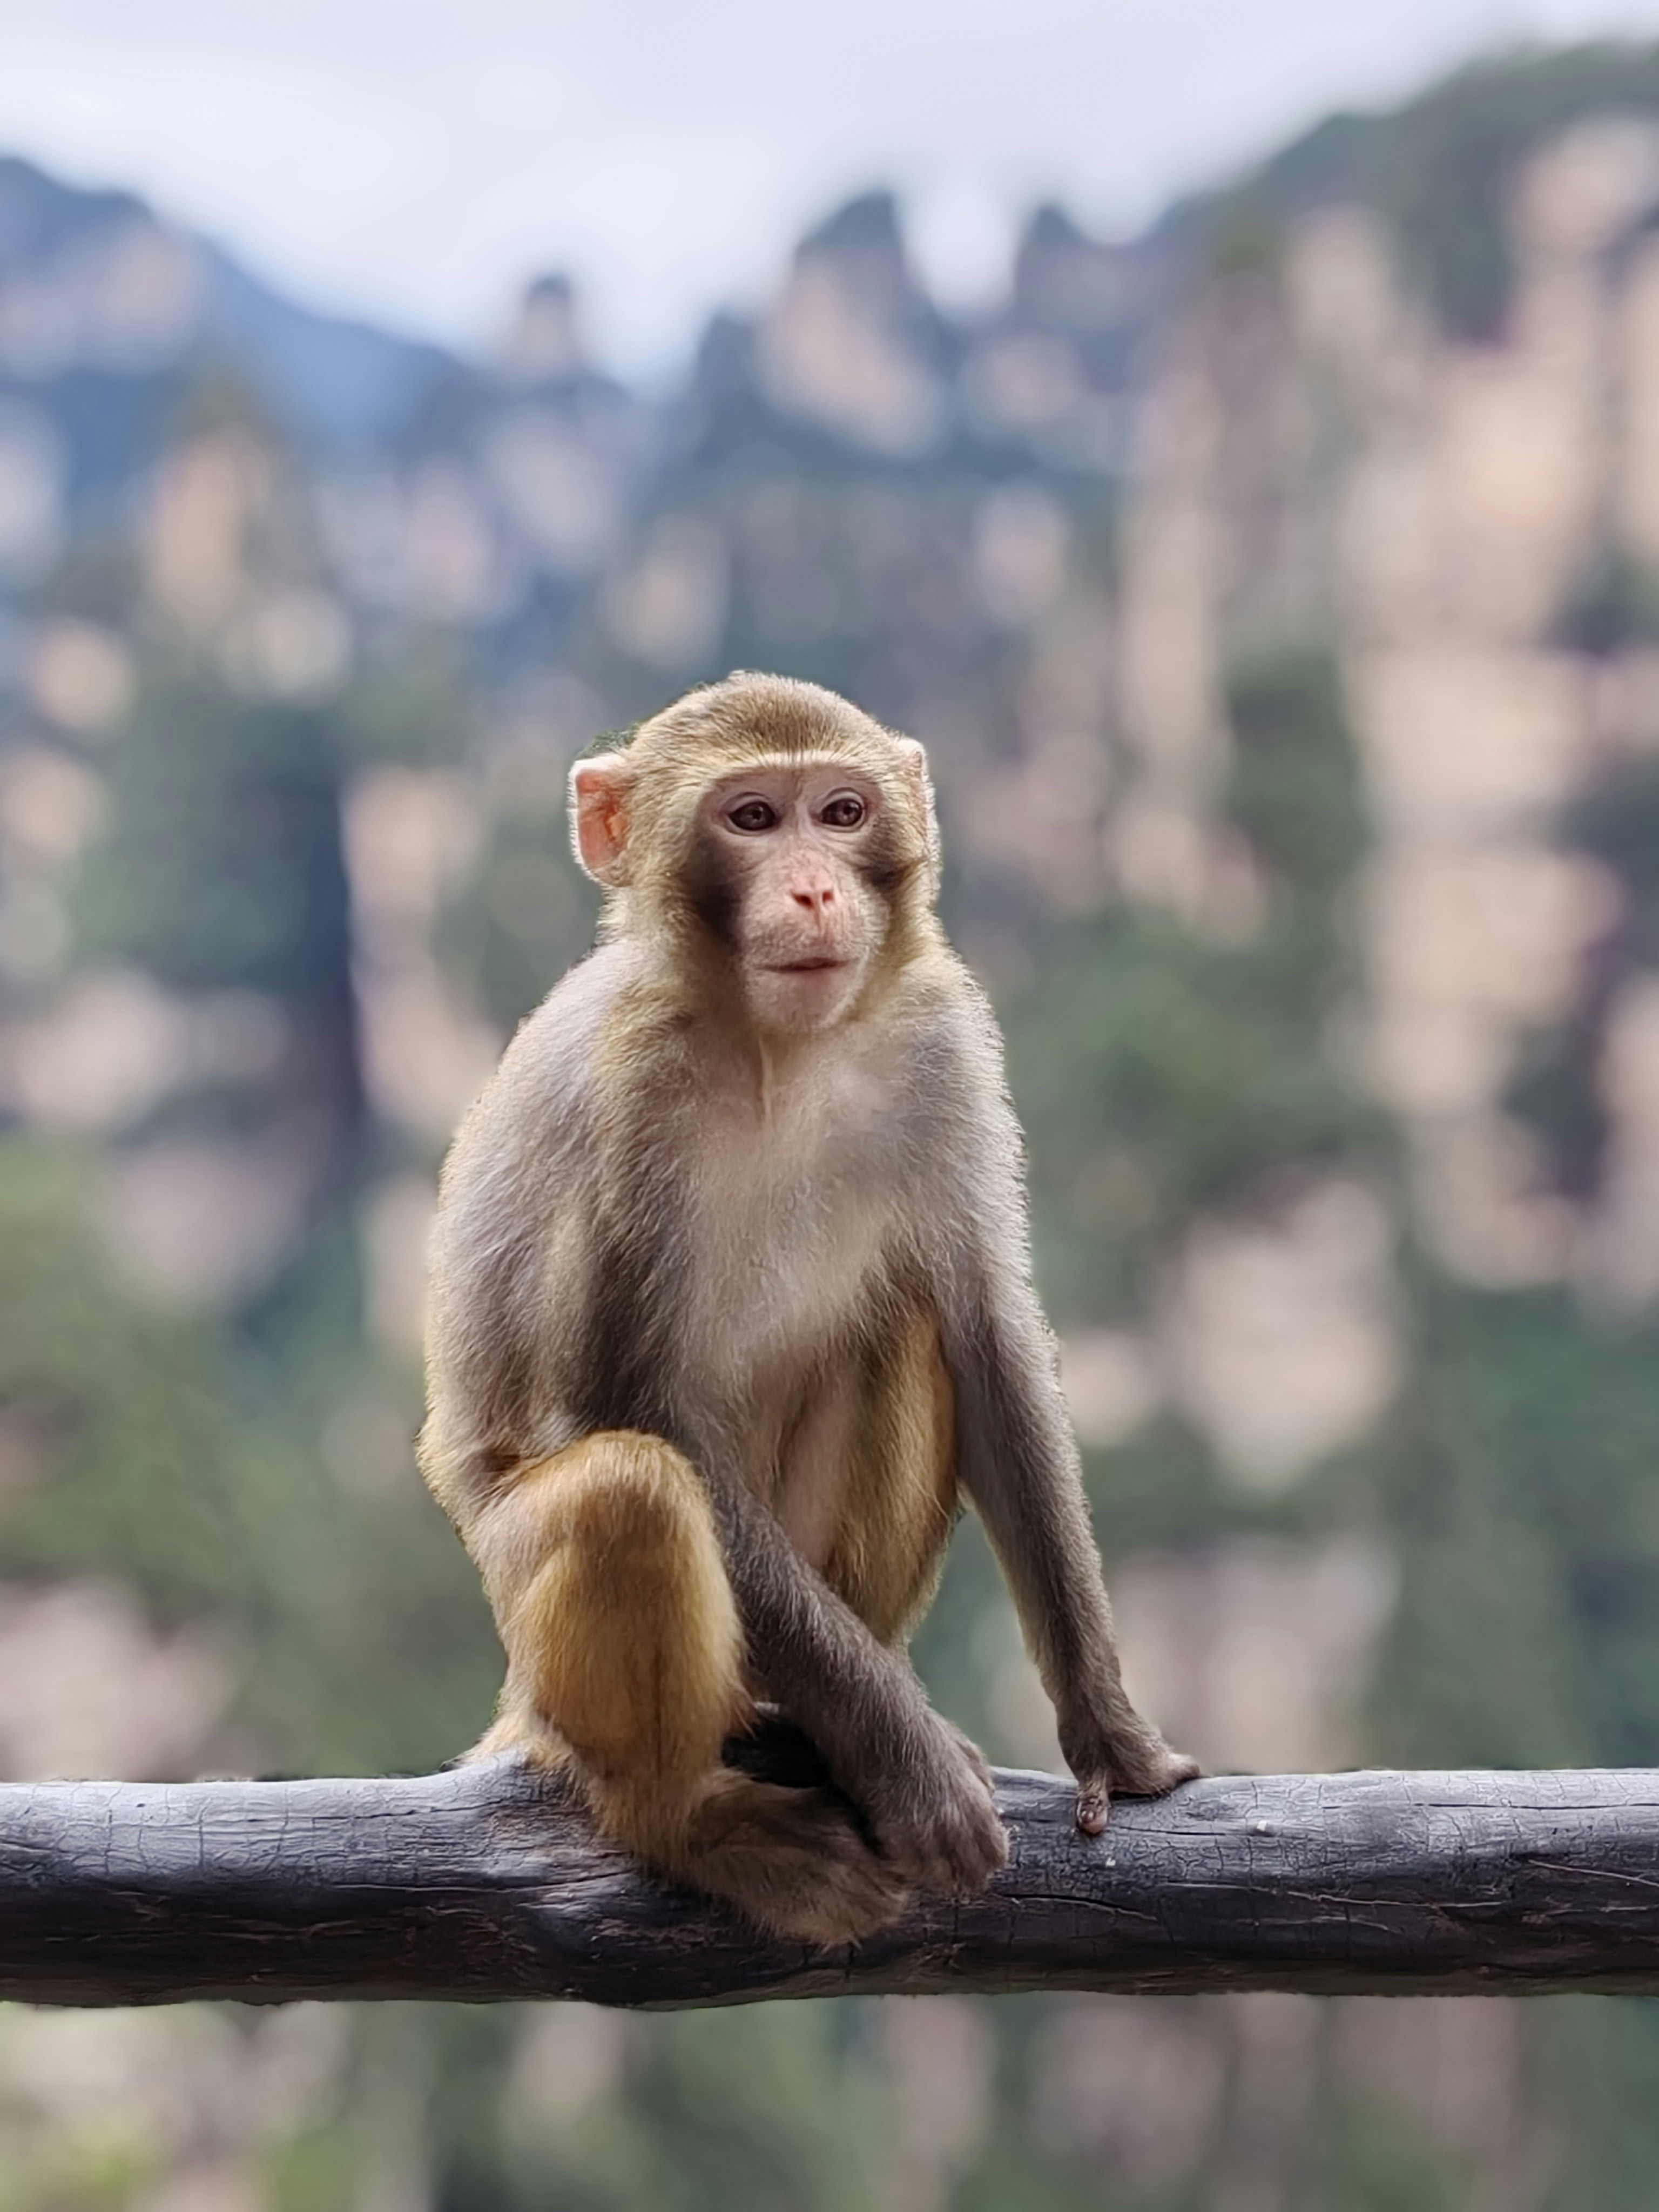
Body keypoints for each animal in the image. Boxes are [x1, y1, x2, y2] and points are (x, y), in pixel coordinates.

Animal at [418, 671, 1197, 1944]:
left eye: (839, 812)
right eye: (750, 819)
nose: (816, 886)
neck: (774, 1048)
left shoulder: (940, 1041)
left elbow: (983, 1334)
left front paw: (1112, 1734)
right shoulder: (631, 1092)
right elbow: (632, 1406)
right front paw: (912, 1768)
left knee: (902, 1329)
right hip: (541, 1660)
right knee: (628, 1491)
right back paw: (689, 1817)